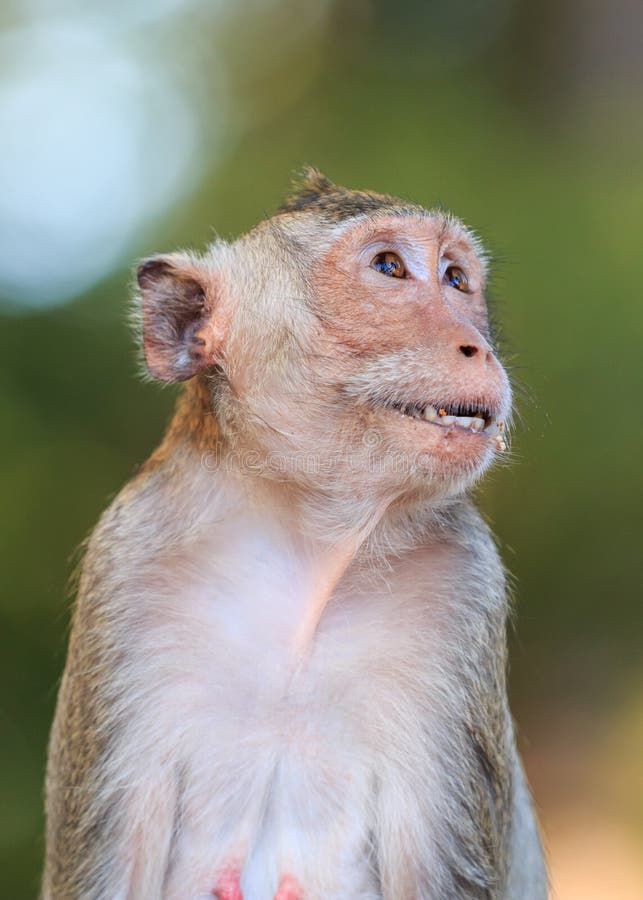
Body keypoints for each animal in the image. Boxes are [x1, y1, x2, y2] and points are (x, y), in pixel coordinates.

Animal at [43, 169, 548, 900]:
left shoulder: (464, 580)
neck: (308, 543)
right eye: (389, 267)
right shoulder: (127, 562)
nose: (475, 345)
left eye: (456, 279)